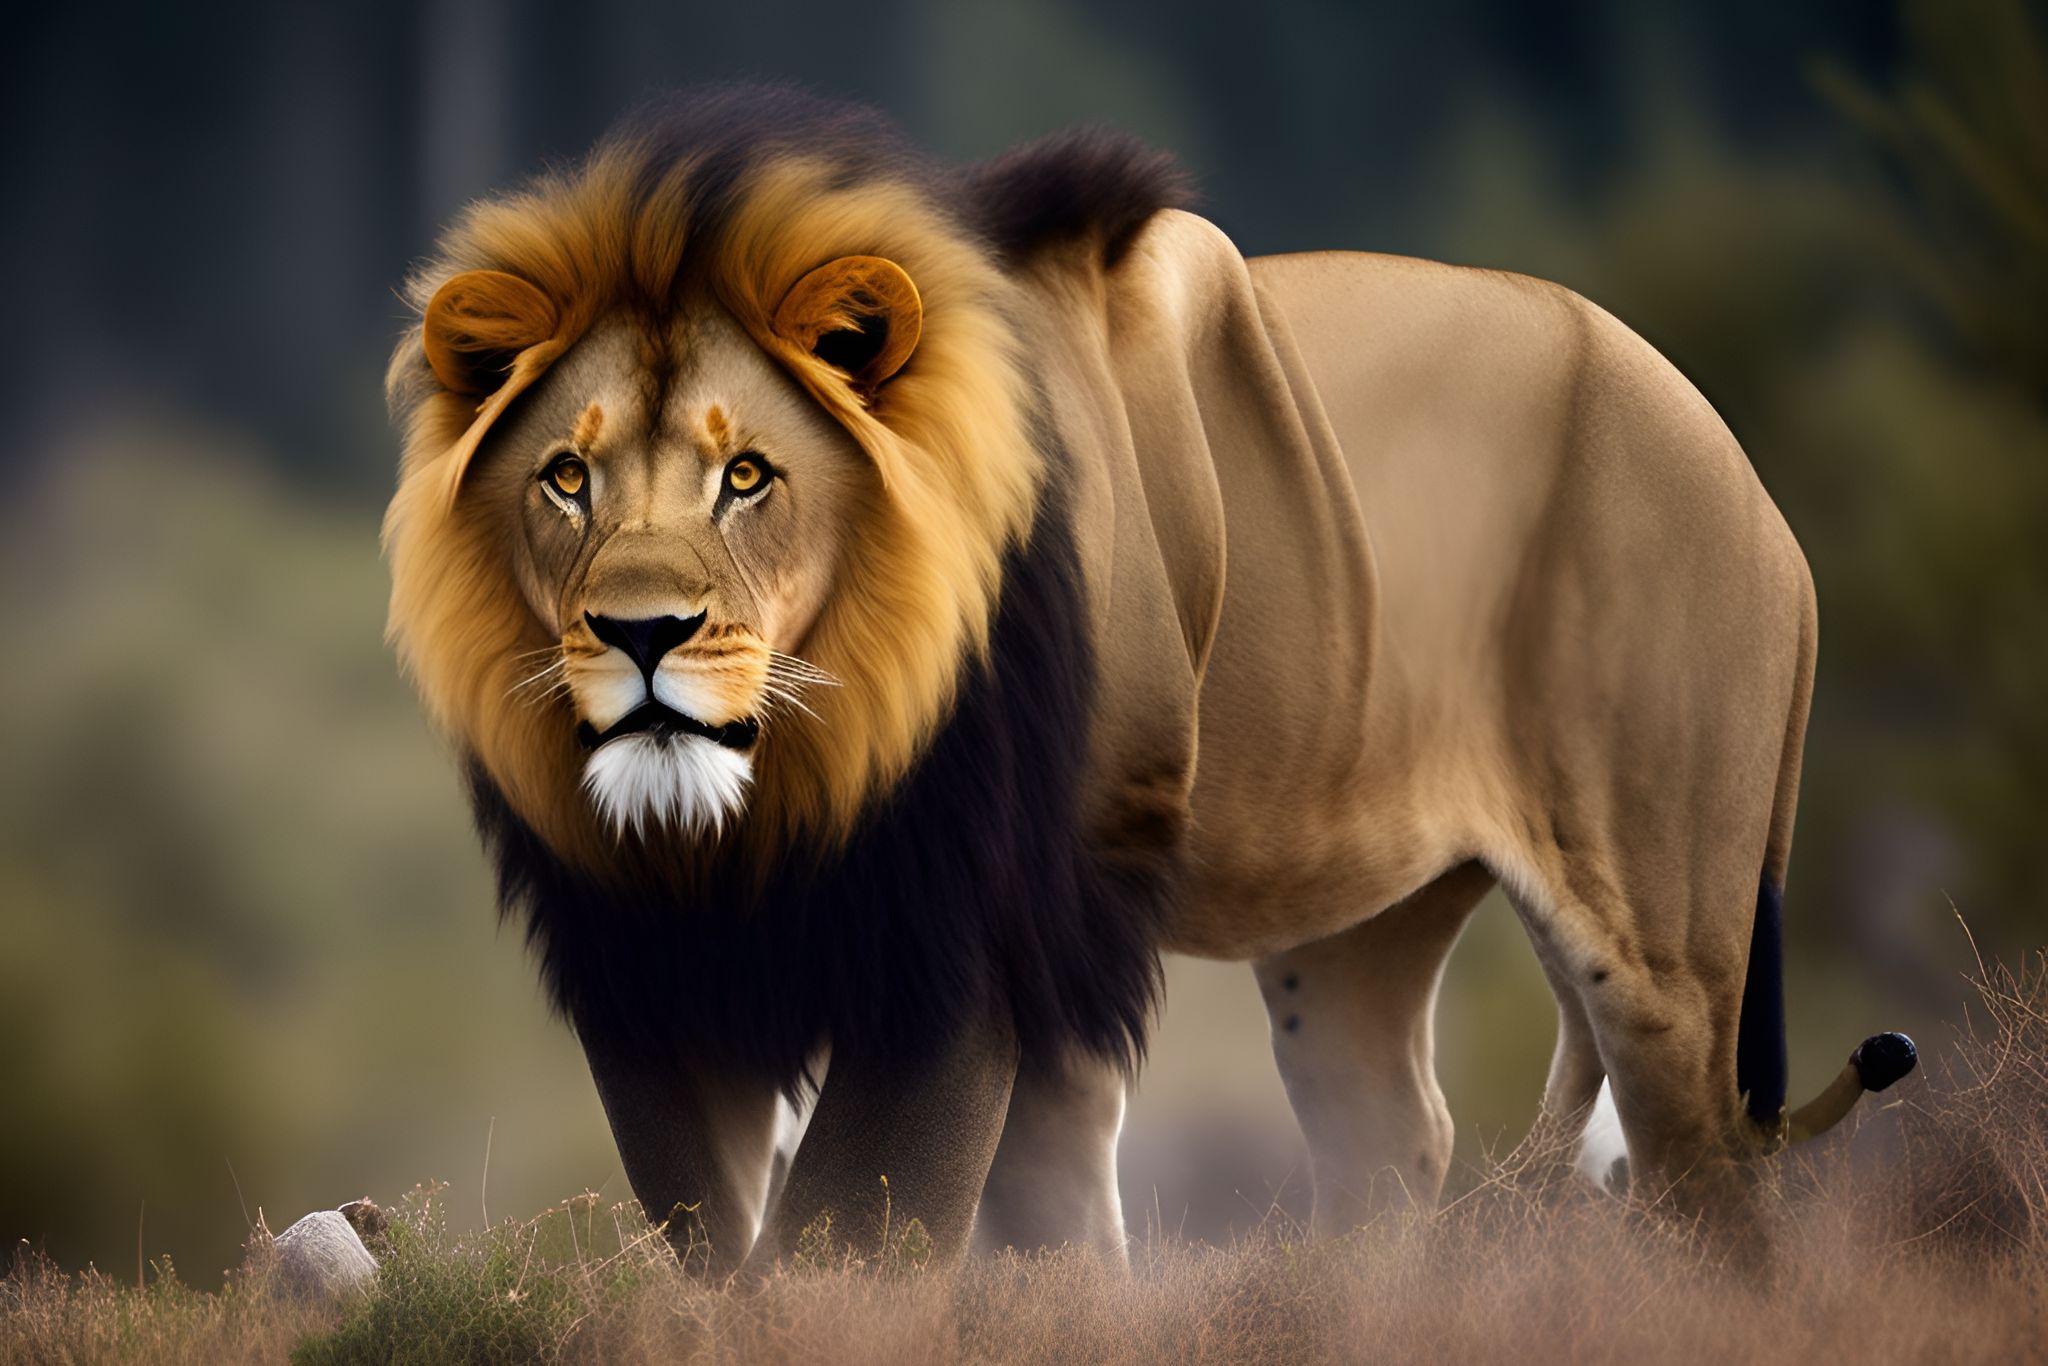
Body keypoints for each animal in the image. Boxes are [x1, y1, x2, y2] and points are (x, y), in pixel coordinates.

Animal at [384, 85, 1915, 1272]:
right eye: (565, 479)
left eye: (747, 474)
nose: (641, 632)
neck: (802, 782)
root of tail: (1746, 476)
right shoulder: (645, 971)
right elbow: (725, 1225)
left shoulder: (968, 943)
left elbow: (848, 1229)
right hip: (1350, 929)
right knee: (1387, 1140)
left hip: (1661, 939)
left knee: (1707, 1184)